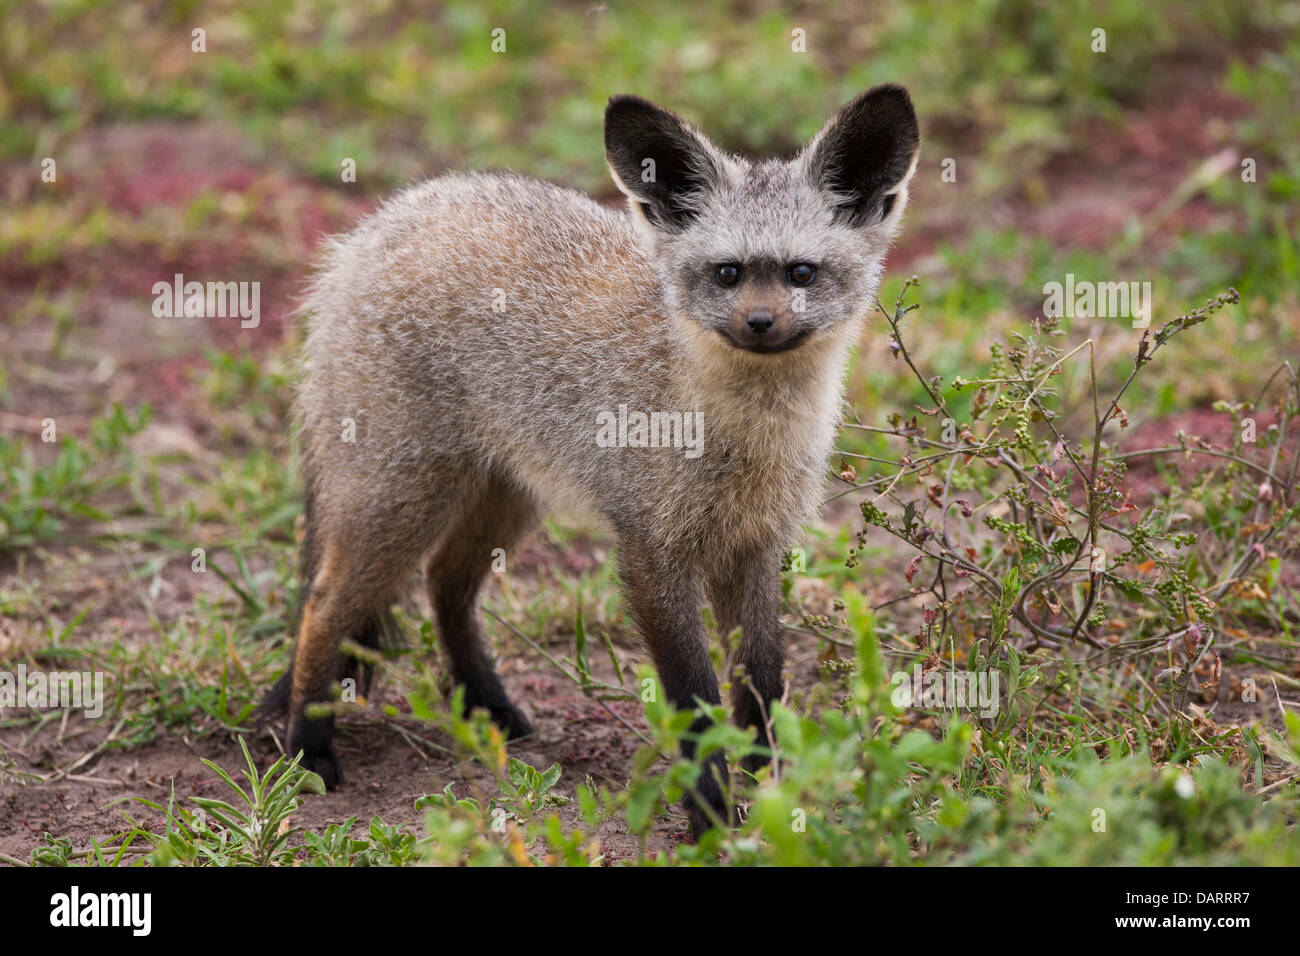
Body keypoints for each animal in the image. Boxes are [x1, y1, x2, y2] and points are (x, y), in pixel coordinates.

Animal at [261, 85, 920, 836]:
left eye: (800, 273)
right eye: (727, 274)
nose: (759, 324)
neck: (742, 437)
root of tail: (375, 226)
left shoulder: (755, 547)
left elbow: (761, 683)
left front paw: (775, 788)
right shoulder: (651, 553)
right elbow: (696, 700)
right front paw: (710, 811)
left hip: (504, 500)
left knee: (443, 585)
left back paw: (489, 706)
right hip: (399, 501)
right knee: (322, 607)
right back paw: (308, 749)